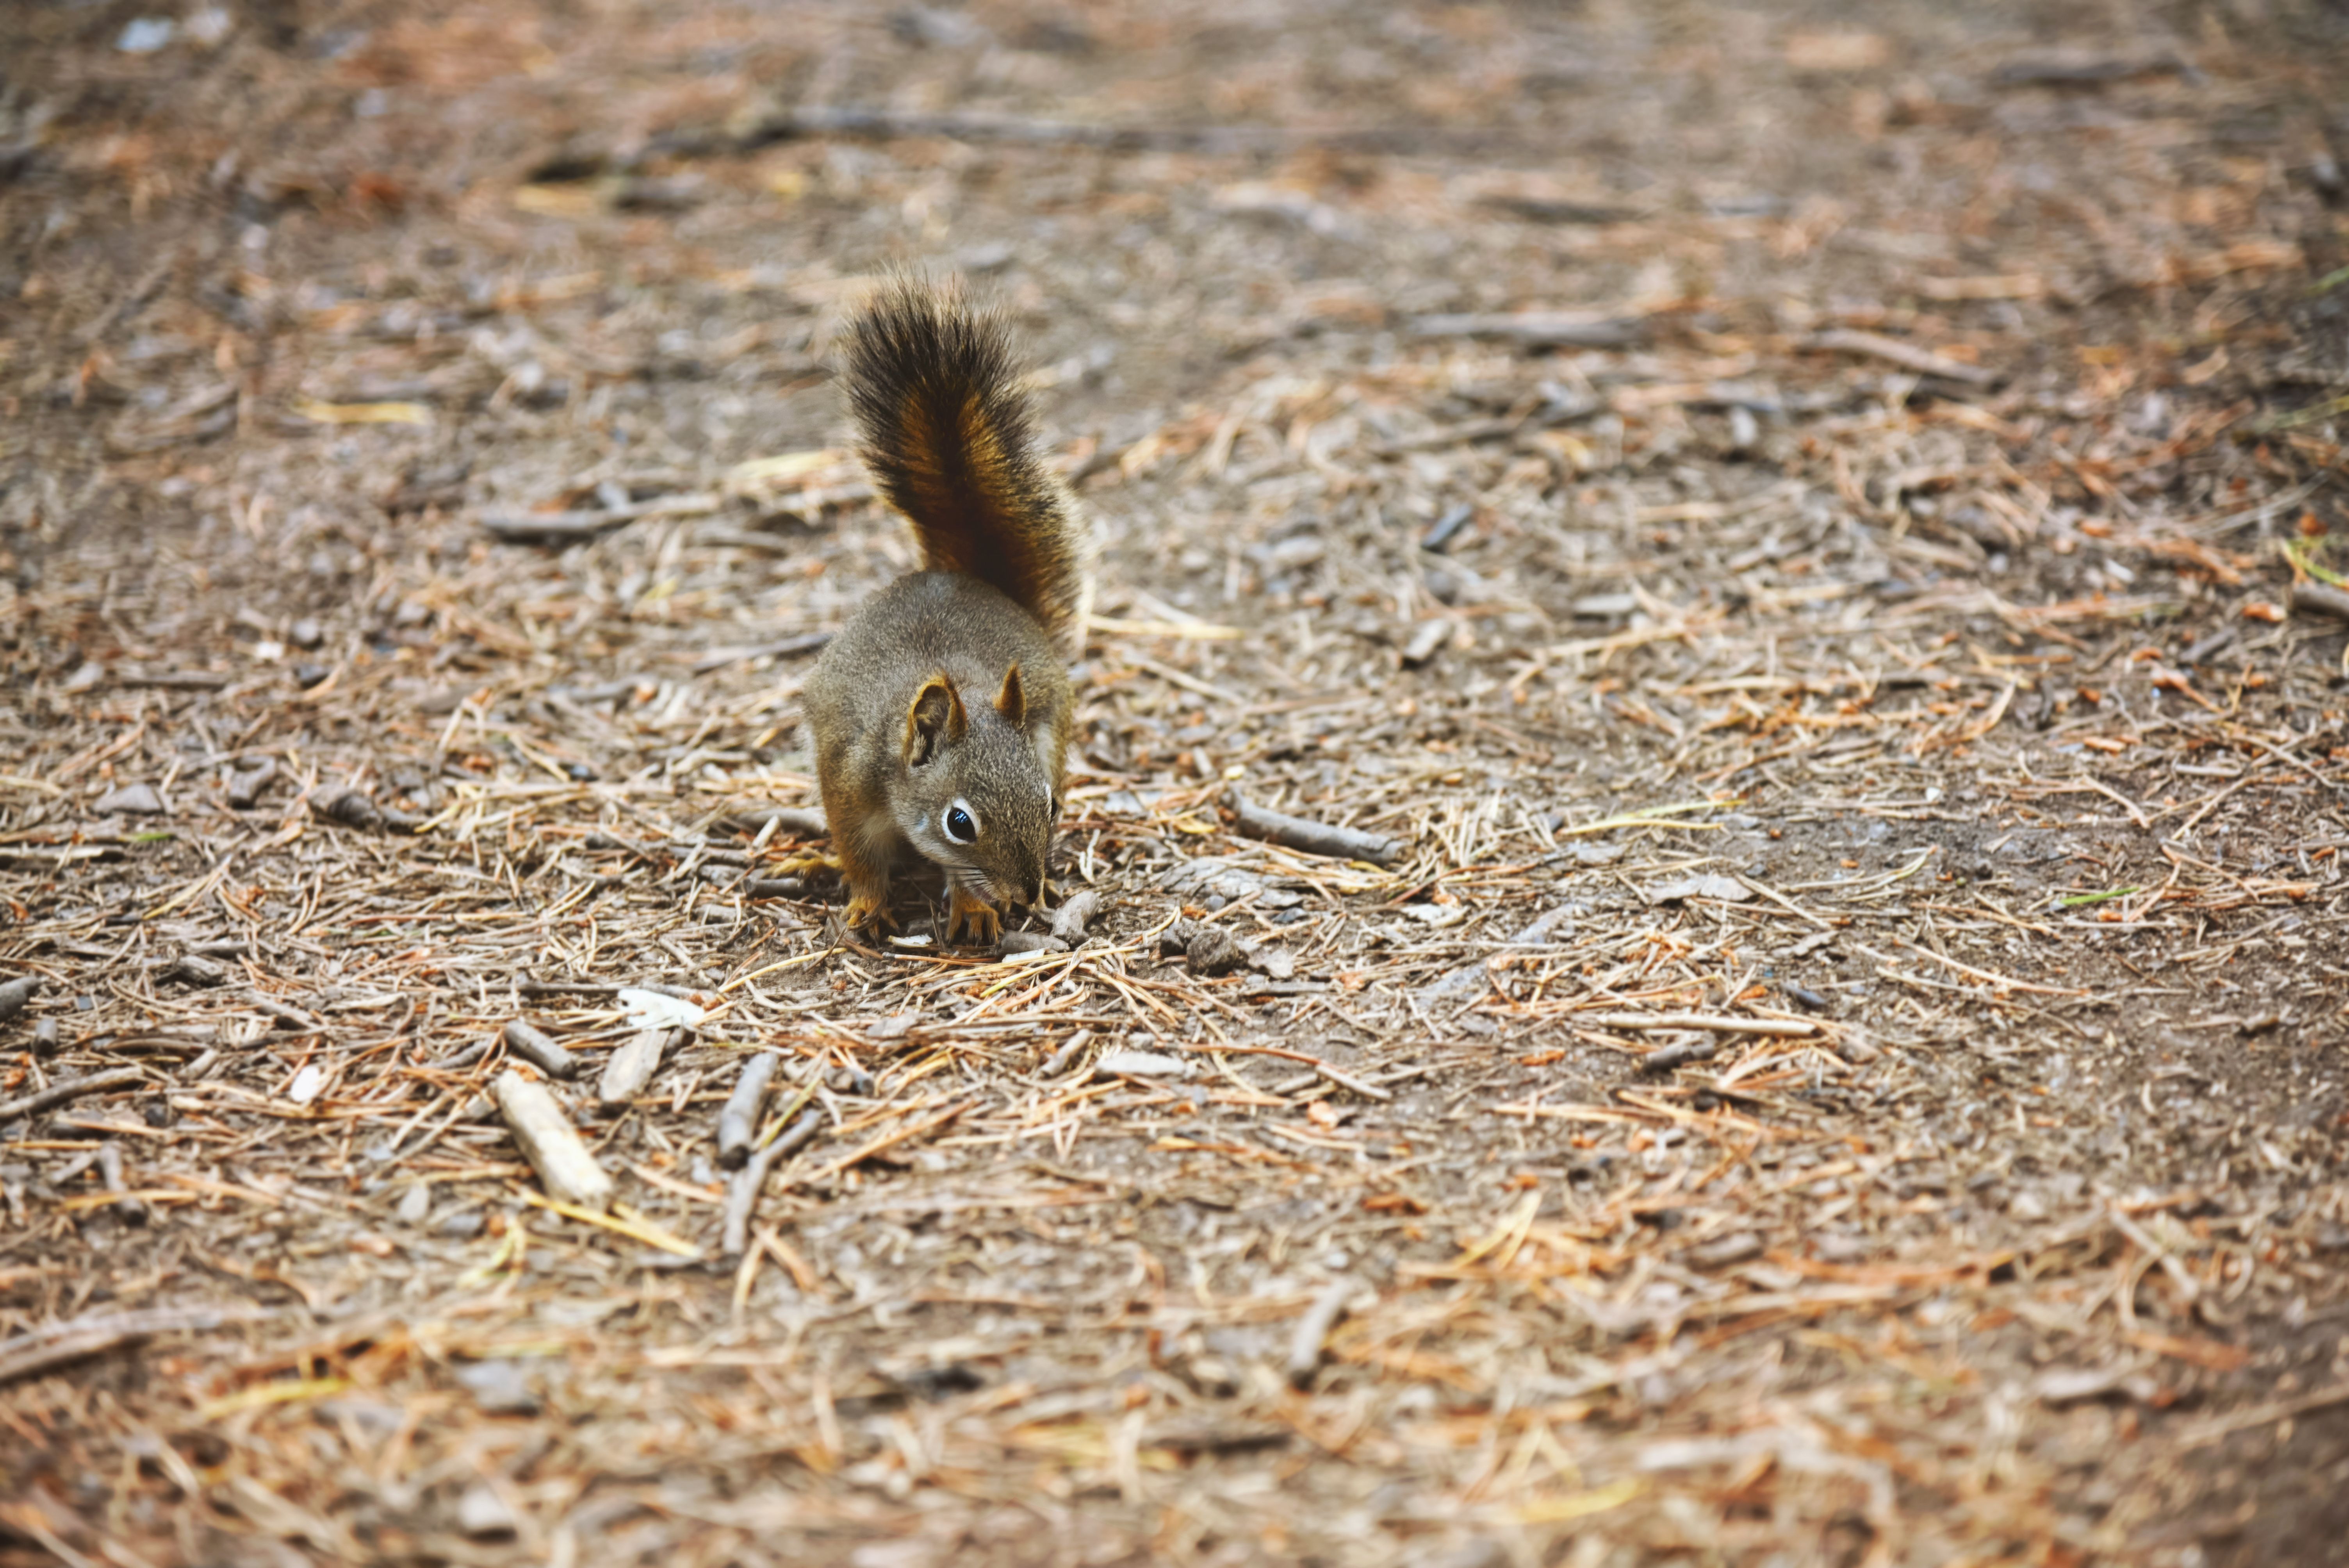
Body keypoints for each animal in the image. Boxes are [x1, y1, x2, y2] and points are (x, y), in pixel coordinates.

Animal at [778, 279, 1094, 945]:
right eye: (960, 823)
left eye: (1049, 803)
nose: (1025, 892)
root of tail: (966, 579)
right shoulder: (848, 782)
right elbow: (861, 857)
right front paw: (869, 904)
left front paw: (975, 908)